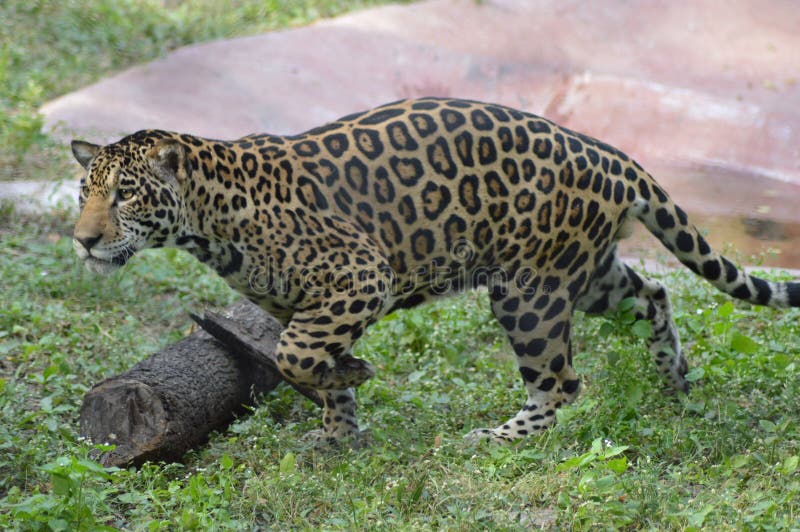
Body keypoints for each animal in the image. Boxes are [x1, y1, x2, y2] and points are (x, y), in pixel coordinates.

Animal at [71, 97, 800, 444]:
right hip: (585, 273)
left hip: (527, 293)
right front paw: (339, 434)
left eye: (126, 195)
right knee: (654, 292)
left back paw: (500, 438)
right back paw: (674, 380)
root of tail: (611, 153)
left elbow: (296, 357)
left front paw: (350, 380)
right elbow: (305, 365)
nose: (82, 241)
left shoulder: (361, 274)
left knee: (562, 382)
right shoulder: (303, 305)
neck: (207, 218)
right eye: (85, 192)